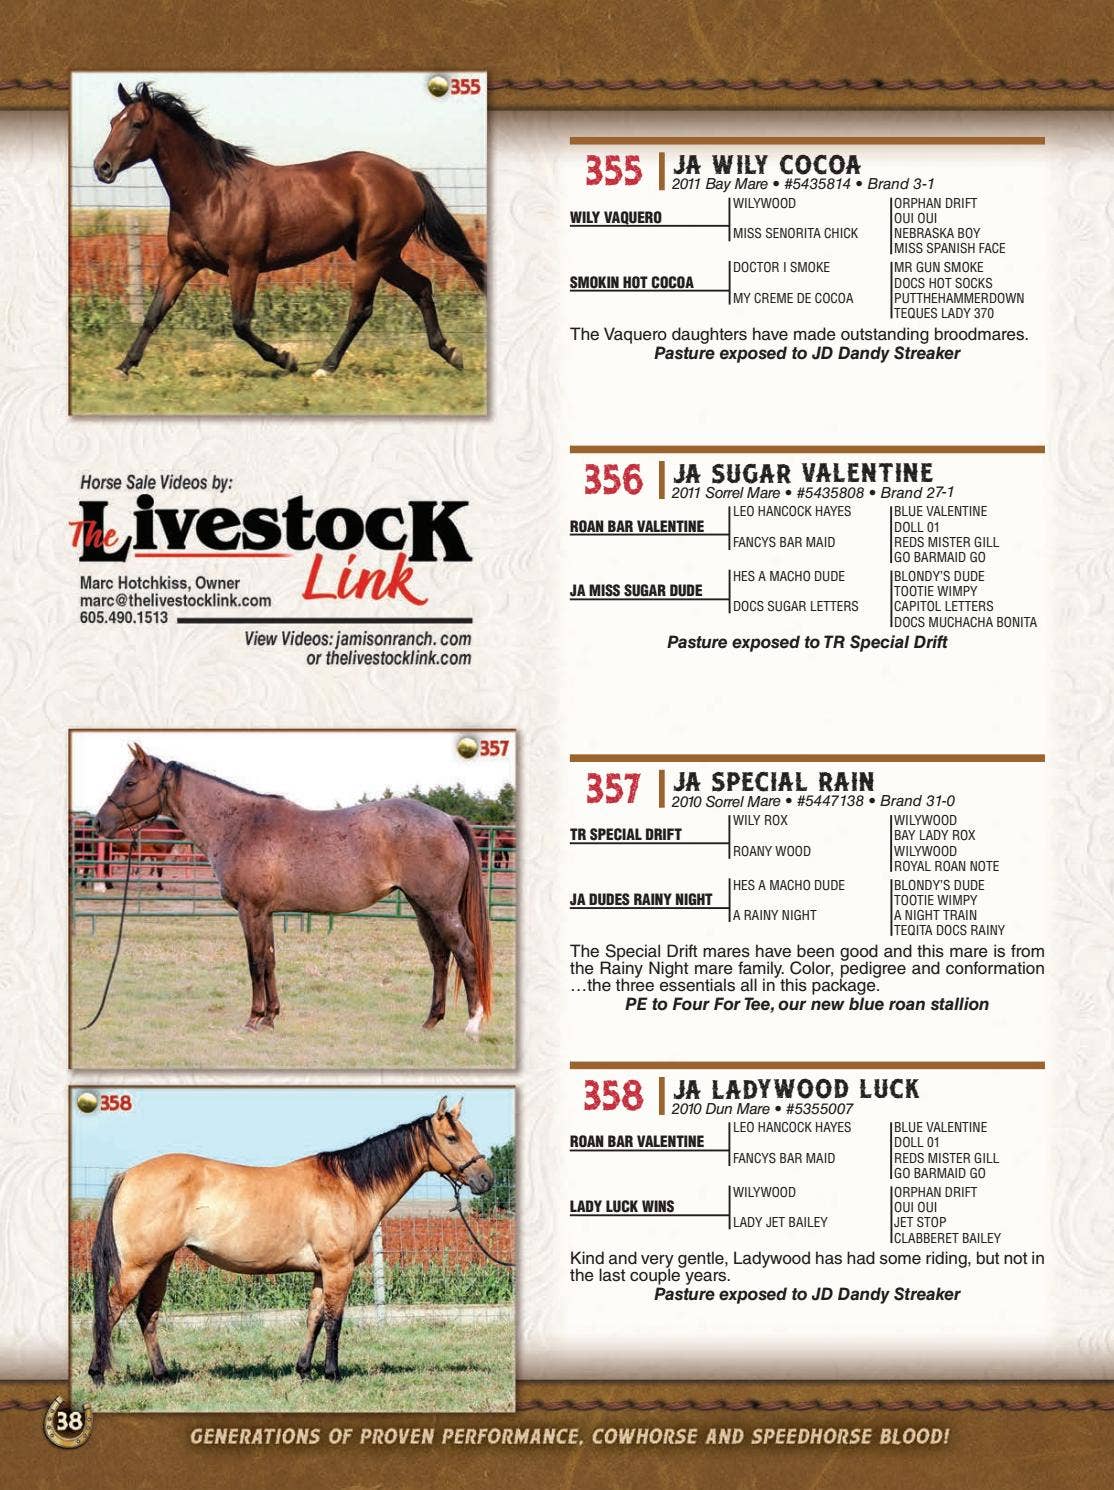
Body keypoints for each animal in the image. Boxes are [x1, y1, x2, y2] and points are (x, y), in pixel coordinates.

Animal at [87, 1098, 493, 1385]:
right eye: (452, 1137)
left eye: (469, 1135)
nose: (485, 1179)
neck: (350, 1184)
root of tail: (127, 1174)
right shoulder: (338, 1267)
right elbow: (334, 1320)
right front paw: (332, 1373)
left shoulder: (320, 1271)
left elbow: (313, 1318)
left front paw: (303, 1370)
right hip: (138, 1267)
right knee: (110, 1310)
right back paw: (97, 1374)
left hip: (161, 1262)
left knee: (147, 1315)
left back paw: (162, 1375)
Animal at [92, 83, 486, 379]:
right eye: (112, 121)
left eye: (138, 123)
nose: (102, 167)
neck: (212, 192)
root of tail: (409, 175)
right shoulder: (181, 262)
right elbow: (154, 313)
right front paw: (123, 366)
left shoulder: (244, 265)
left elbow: (240, 323)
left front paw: (287, 359)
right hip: (379, 254)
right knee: (421, 287)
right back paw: (450, 353)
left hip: (374, 253)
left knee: (361, 309)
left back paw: (326, 368)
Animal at [93, 744, 492, 1037]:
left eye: (130, 782)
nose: (98, 823)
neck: (239, 824)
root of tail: (448, 820)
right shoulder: (265, 912)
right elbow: (269, 960)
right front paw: (271, 1016)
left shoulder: (251, 910)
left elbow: (255, 962)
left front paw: (254, 1018)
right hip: (421, 907)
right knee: (439, 957)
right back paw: (431, 1020)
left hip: (440, 908)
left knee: (465, 953)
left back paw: (472, 1024)